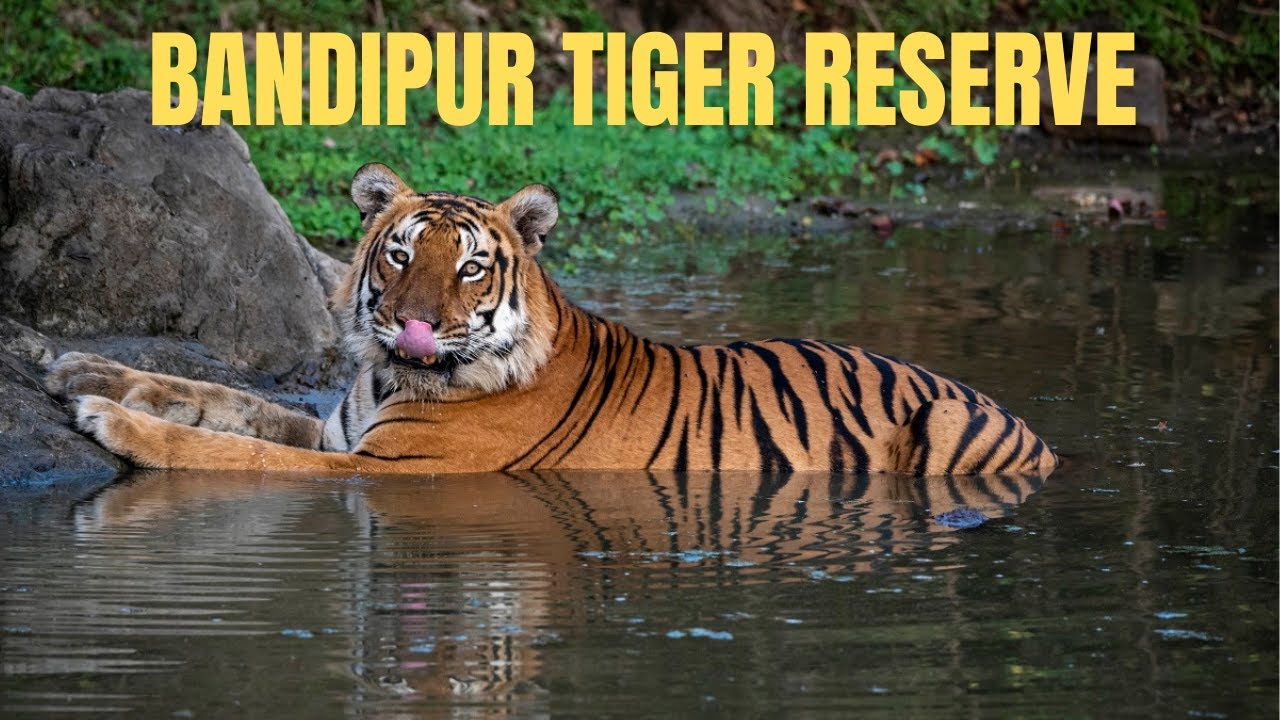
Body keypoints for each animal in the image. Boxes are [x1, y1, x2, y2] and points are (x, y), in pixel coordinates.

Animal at [45, 163, 1058, 477]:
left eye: (471, 267)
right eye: (400, 255)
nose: (412, 327)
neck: (390, 376)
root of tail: (1032, 430)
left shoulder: (384, 474)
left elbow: (231, 450)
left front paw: (109, 420)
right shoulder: (341, 433)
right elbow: (221, 400)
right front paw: (83, 371)